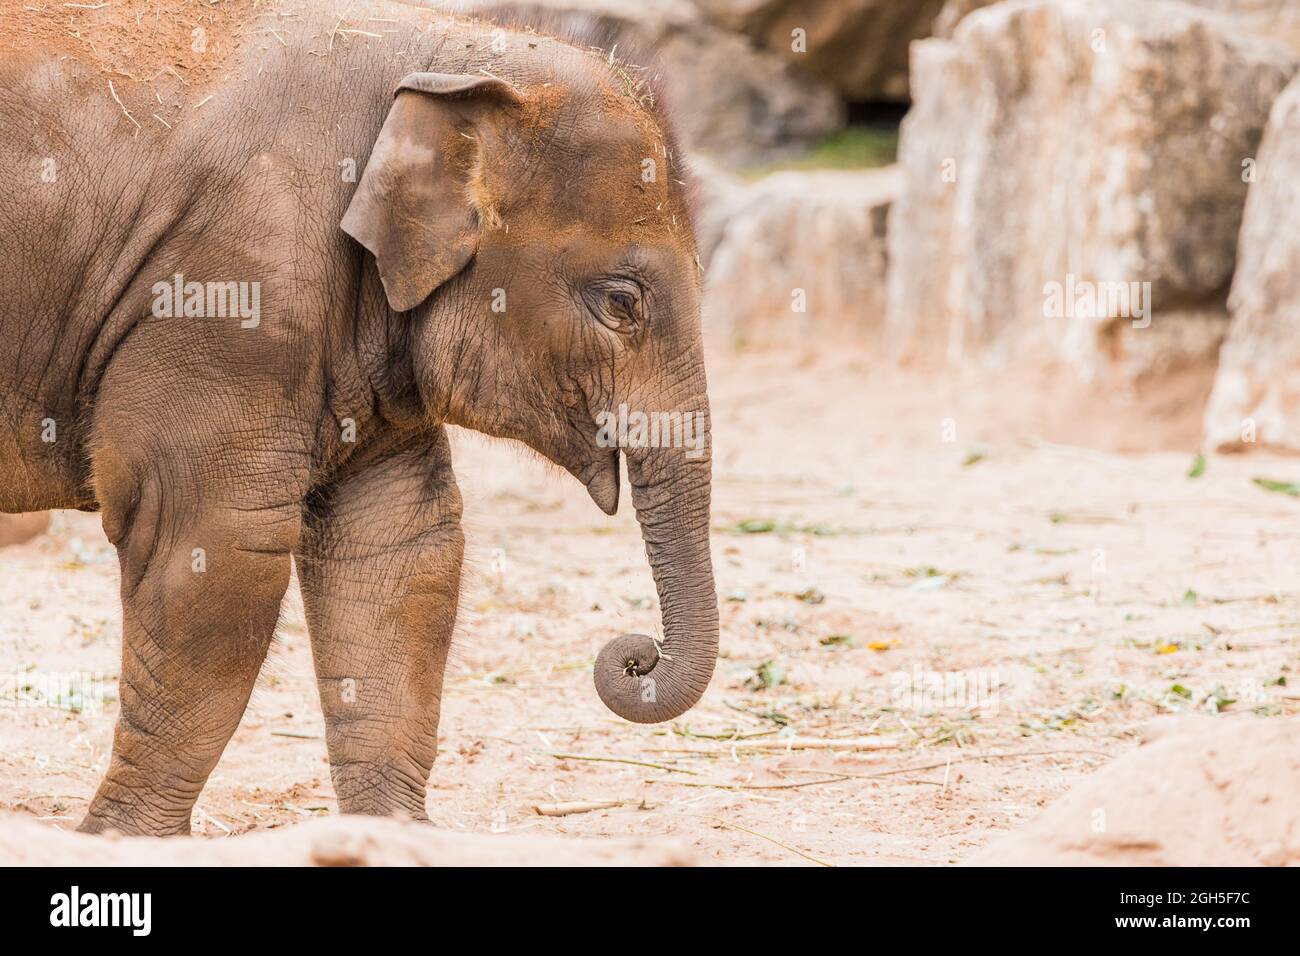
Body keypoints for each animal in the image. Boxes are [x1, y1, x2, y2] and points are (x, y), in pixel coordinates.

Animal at [0, 0, 717, 835]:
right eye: (622, 301)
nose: (634, 655)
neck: (447, 50)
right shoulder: (225, 296)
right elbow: (211, 542)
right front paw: (123, 839)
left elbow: (400, 544)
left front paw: (394, 833)